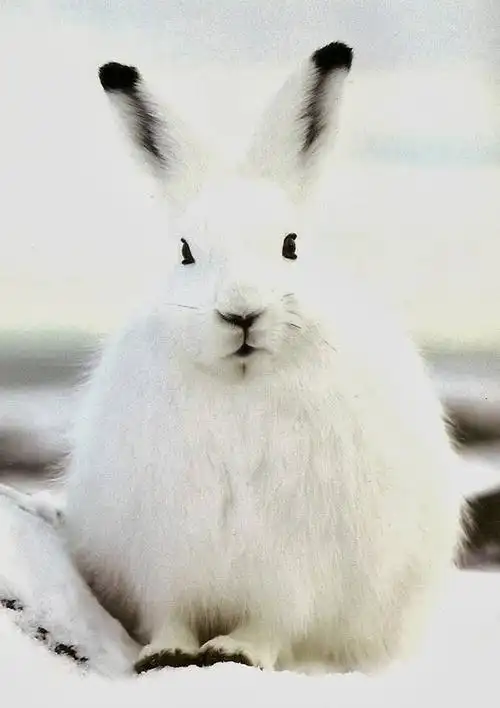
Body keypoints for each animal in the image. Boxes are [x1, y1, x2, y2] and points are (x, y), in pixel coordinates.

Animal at [62, 41, 464, 675]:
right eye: (185, 252)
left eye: (290, 245)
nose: (241, 312)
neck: (242, 382)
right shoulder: (164, 558)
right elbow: (170, 610)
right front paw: (164, 653)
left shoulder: (295, 571)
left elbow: (273, 623)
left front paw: (237, 651)